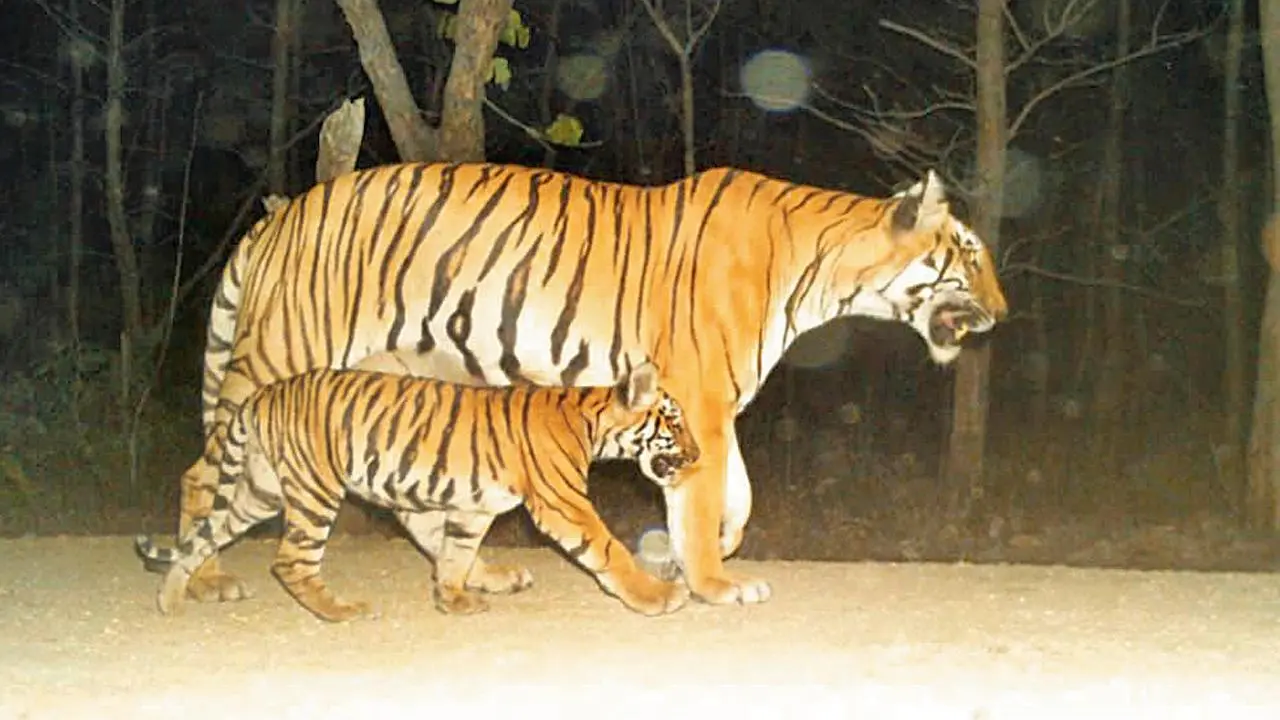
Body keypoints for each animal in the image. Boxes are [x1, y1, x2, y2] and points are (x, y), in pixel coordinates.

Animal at [135, 362, 699, 620]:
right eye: (674, 422)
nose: (697, 456)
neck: (591, 420)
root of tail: (263, 393)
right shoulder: (565, 504)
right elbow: (609, 550)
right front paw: (657, 597)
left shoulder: (473, 509)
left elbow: (457, 554)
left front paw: (453, 599)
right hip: (315, 490)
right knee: (290, 560)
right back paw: (341, 610)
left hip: (260, 491)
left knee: (205, 534)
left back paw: (169, 597)